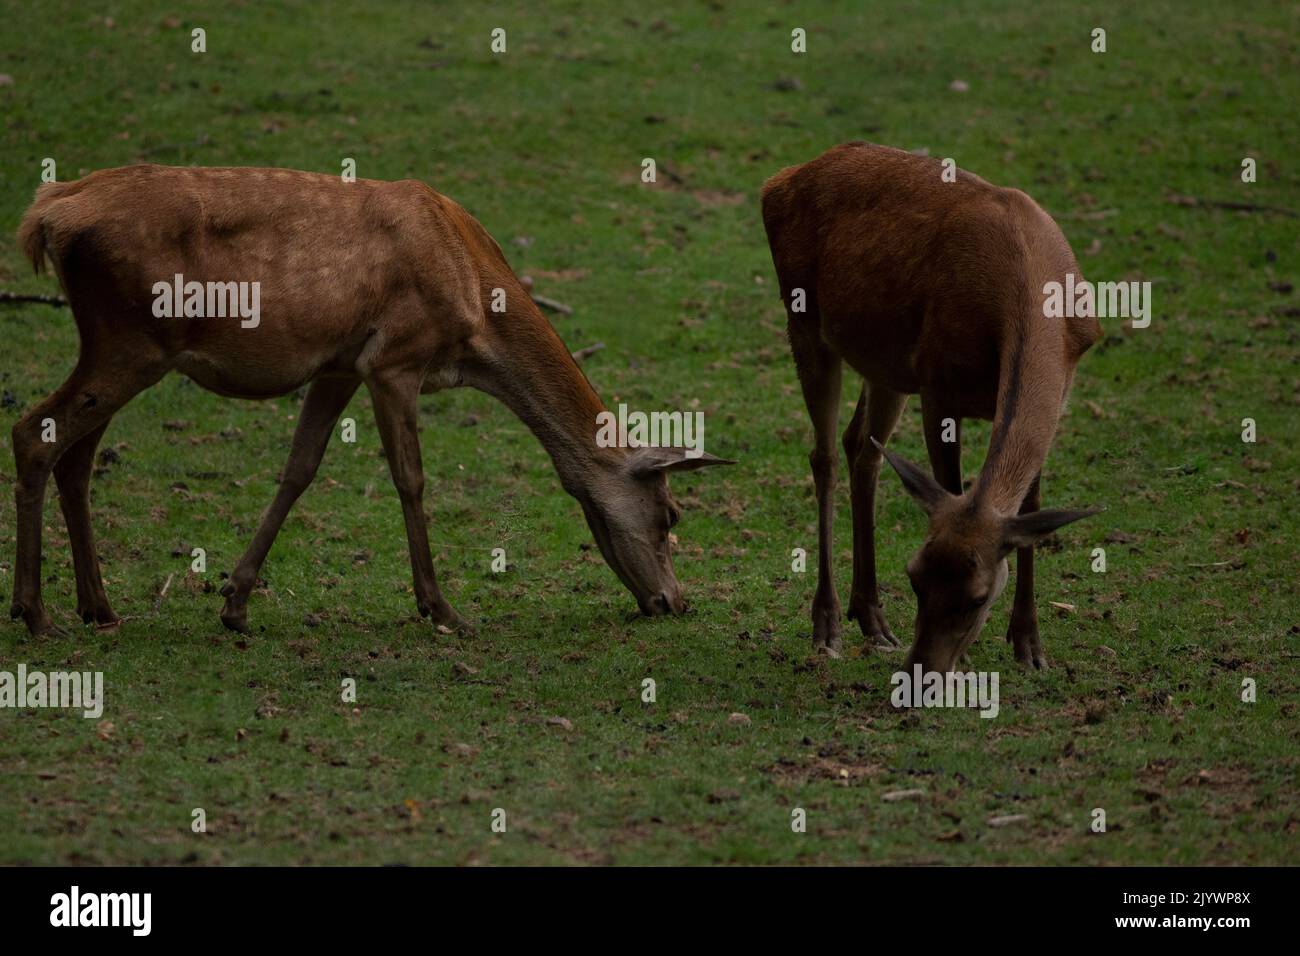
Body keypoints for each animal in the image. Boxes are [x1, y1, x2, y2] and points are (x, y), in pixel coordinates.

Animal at [11, 164, 730, 638]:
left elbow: (299, 469)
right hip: (131, 341)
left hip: (118, 346)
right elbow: (410, 479)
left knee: (75, 458)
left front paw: (234, 601)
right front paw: (442, 609)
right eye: (671, 514)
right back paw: (35, 613)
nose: (675, 602)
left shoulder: (337, 365)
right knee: (33, 432)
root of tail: (47, 212)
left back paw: (98, 608)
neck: (477, 310)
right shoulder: (395, 359)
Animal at [761, 143, 1102, 673]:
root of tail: (778, 180)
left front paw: (1029, 645)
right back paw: (828, 624)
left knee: (862, 447)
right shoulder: (937, 381)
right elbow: (952, 485)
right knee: (825, 456)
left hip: (886, 362)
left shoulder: (1062, 388)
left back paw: (872, 619)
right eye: (915, 576)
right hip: (804, 320)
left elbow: (1031, 507)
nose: (921, 670)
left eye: (978, 597)